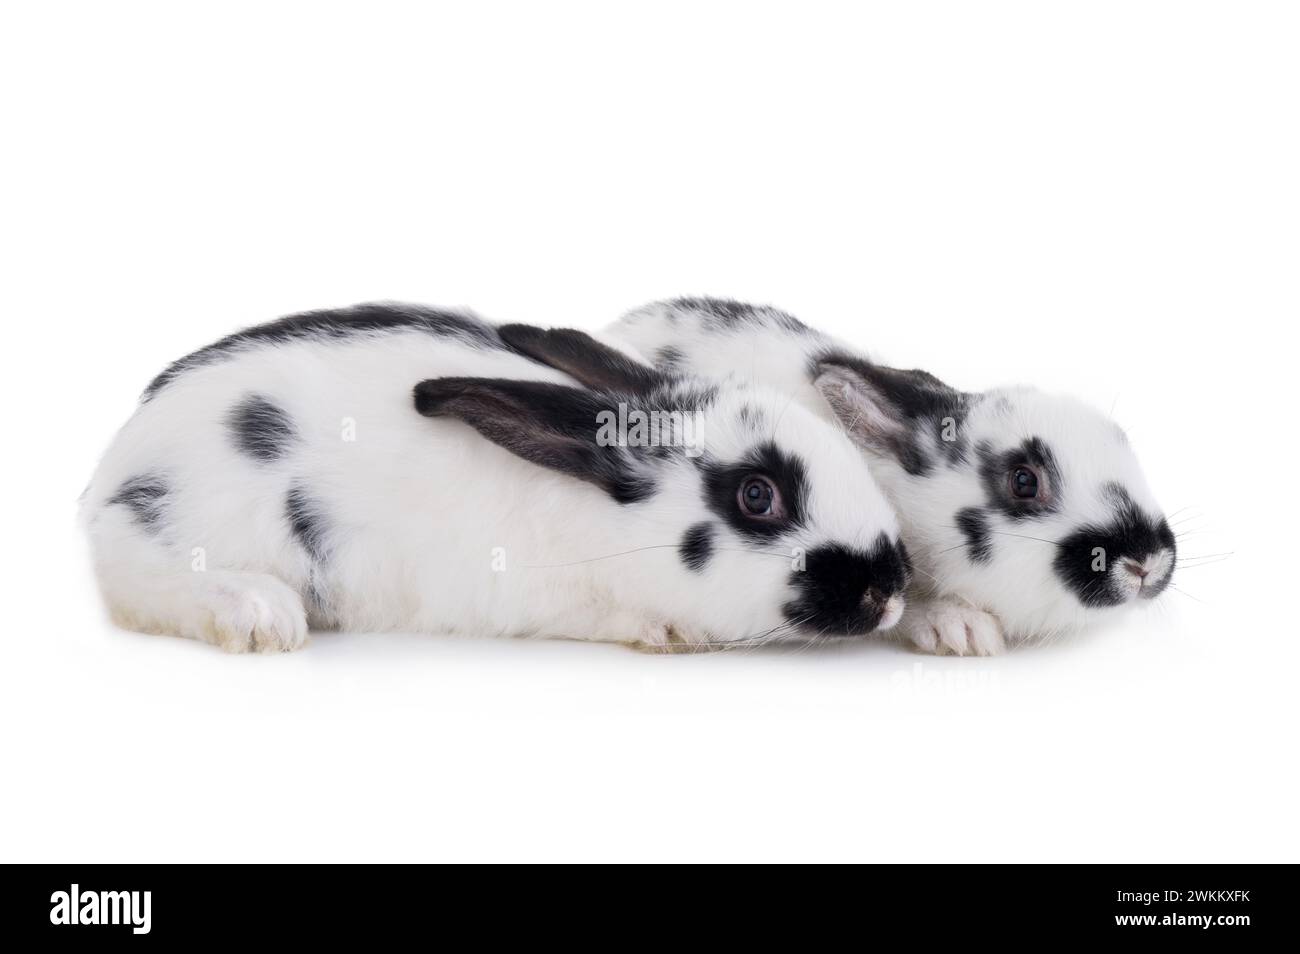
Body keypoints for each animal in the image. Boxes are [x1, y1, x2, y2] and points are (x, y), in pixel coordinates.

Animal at [79, 301, 912, 654]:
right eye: (757, 497)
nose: (892, 586)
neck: (607, 524)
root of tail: (107, 481)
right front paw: (667, 632)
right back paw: (258, 616)